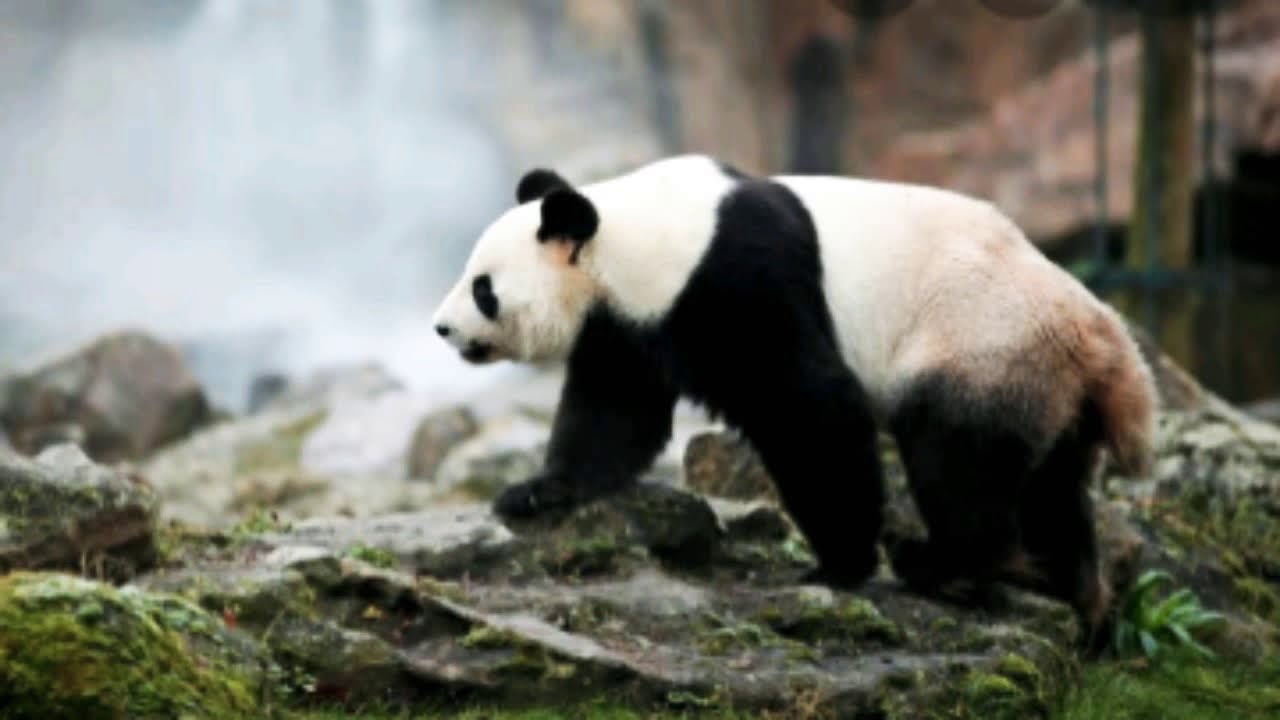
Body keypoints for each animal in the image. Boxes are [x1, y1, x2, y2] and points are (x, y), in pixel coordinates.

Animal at [431, 154, 1157, 648]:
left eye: (483, 288)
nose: (441, 329)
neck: (636, 232)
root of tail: (1104, 339)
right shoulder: (633, 323)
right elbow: (614, 411)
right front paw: (537, 492)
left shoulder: (735, 280)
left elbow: (811, 407)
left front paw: (839, 566)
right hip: (1045, 384)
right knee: (1050, 490)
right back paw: (1076, 598)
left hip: (982, 341)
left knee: (959, 461)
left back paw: (942, 560)